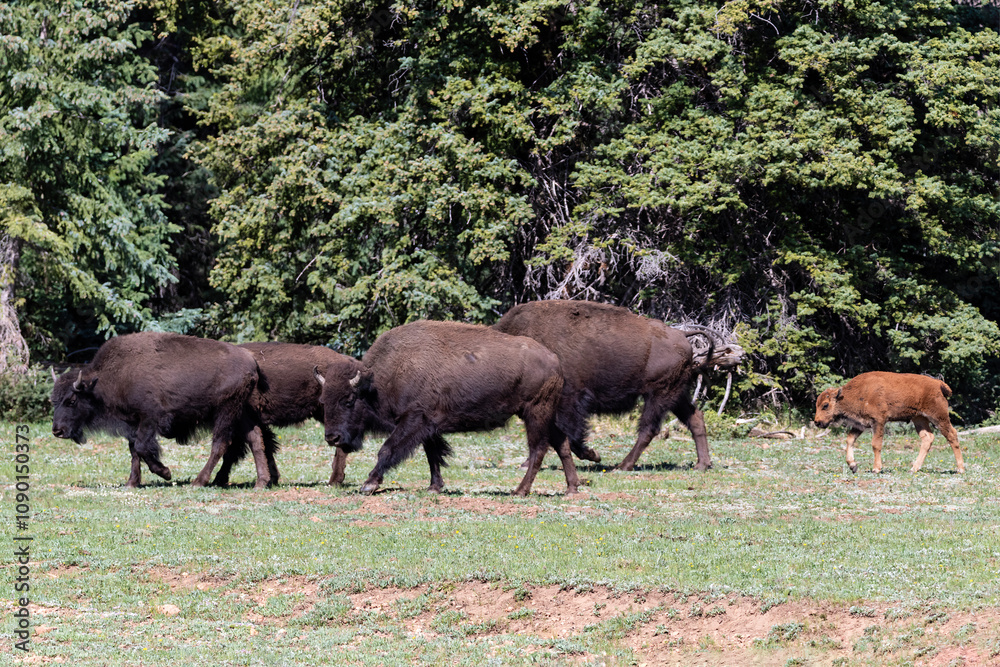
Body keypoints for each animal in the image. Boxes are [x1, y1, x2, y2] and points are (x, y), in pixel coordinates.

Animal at [50, 332, 275, 488]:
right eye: (54, 400)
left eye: (72, 400)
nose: (57, 431)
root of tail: (252, 362)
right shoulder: (133, 423)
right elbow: (134, 451)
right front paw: (131, 483)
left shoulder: (150, 418)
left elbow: (142, 447)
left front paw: (166, 473)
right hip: (241, 412)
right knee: (255, 438)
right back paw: (261, 482)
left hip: (225, 411)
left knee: (220, 444)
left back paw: (198, 482)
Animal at [313, 320, 579, 496]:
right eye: (323, 401)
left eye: (349, 400)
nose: (332, 437)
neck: (377, 382)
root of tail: (554, 360)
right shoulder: (429, 426)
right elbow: (433, 455)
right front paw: (434, 487)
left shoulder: (414, 420)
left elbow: (388, 449)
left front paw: (369, 484)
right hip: (544, 415)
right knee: (561, 443)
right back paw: (571, 488)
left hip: (535, 413)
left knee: (538, 449)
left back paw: (520, 491)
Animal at [493, 300, 734, 471]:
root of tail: (682, 335)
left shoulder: (570, 400)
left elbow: (570, 434)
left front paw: (594, 455)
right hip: (676, 394)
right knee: (695, 418)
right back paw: (701, 465)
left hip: (659, 394)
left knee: (649, 429)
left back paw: (623, 466)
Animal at [814, 371, 964, 474]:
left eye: (825, 405)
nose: (817, 422)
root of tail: (938, 384)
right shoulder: (860, 425)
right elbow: (850, 439)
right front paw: (853, 466)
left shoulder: (878, 422)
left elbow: (876, 444)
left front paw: (876, 469)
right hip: (919, 419)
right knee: (927, 438)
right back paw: (913, 468)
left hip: (938, 417)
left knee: (952, 435)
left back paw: (960, 469)